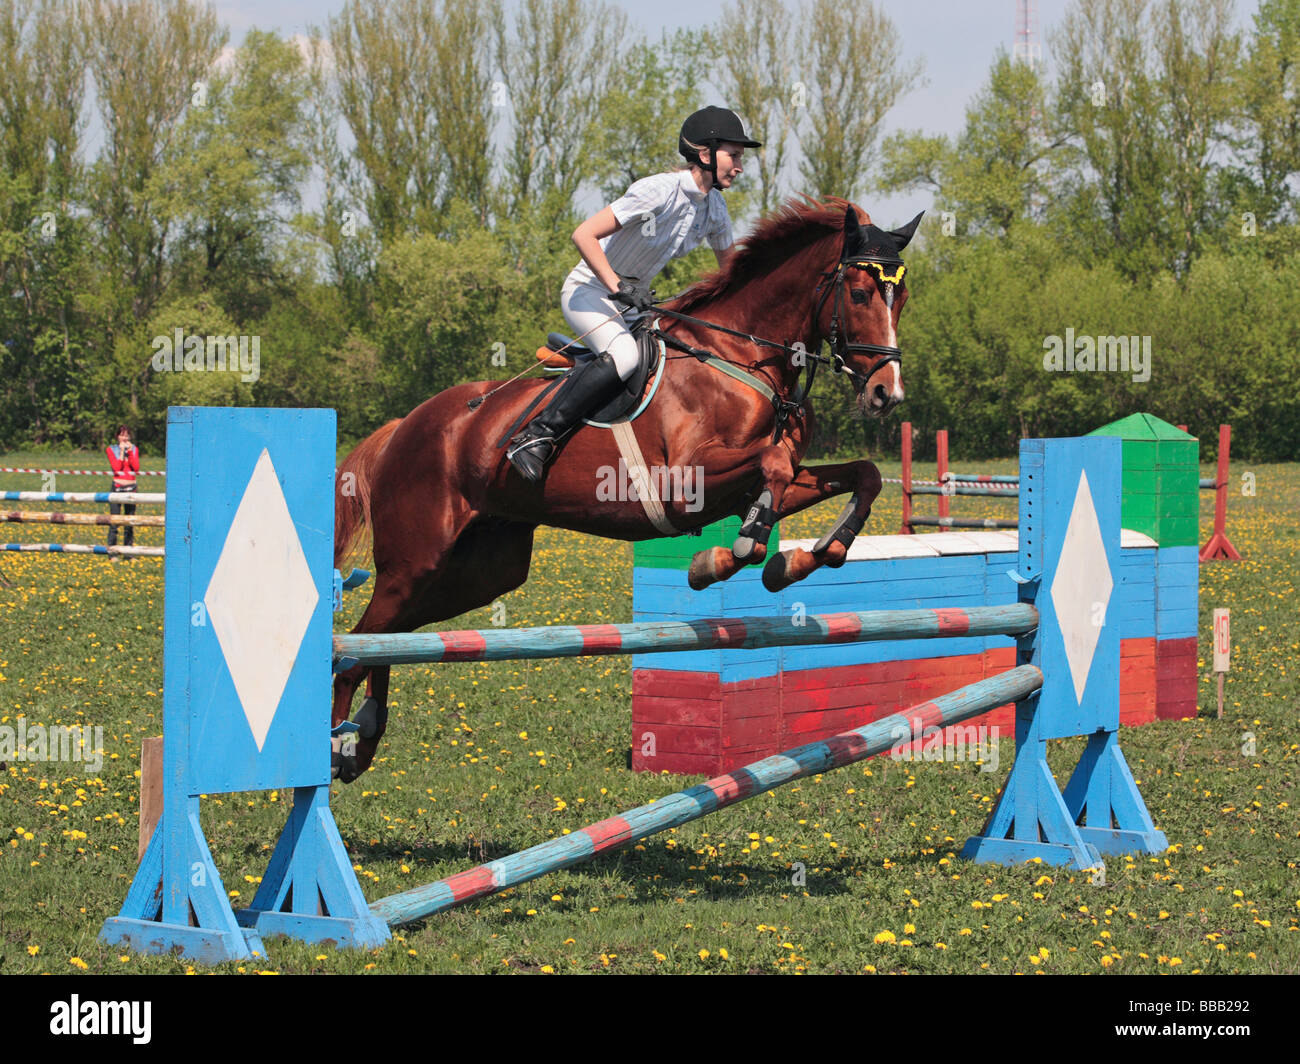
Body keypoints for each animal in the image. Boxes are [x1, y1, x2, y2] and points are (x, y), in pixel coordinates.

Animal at [331, 197, 923, 781]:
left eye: (902, 297)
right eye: (860, 293)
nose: (886, 394)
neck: (743, 358)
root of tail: (405, 425)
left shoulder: (748, 483)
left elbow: (860, 474)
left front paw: (804, 557)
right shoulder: (683, 484)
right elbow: (772, 468)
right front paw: (732, 552)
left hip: (482, 571)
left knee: (391, 639)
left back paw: (366, 737)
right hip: (415, 560)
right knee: (359, 644)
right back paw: (339, 742)